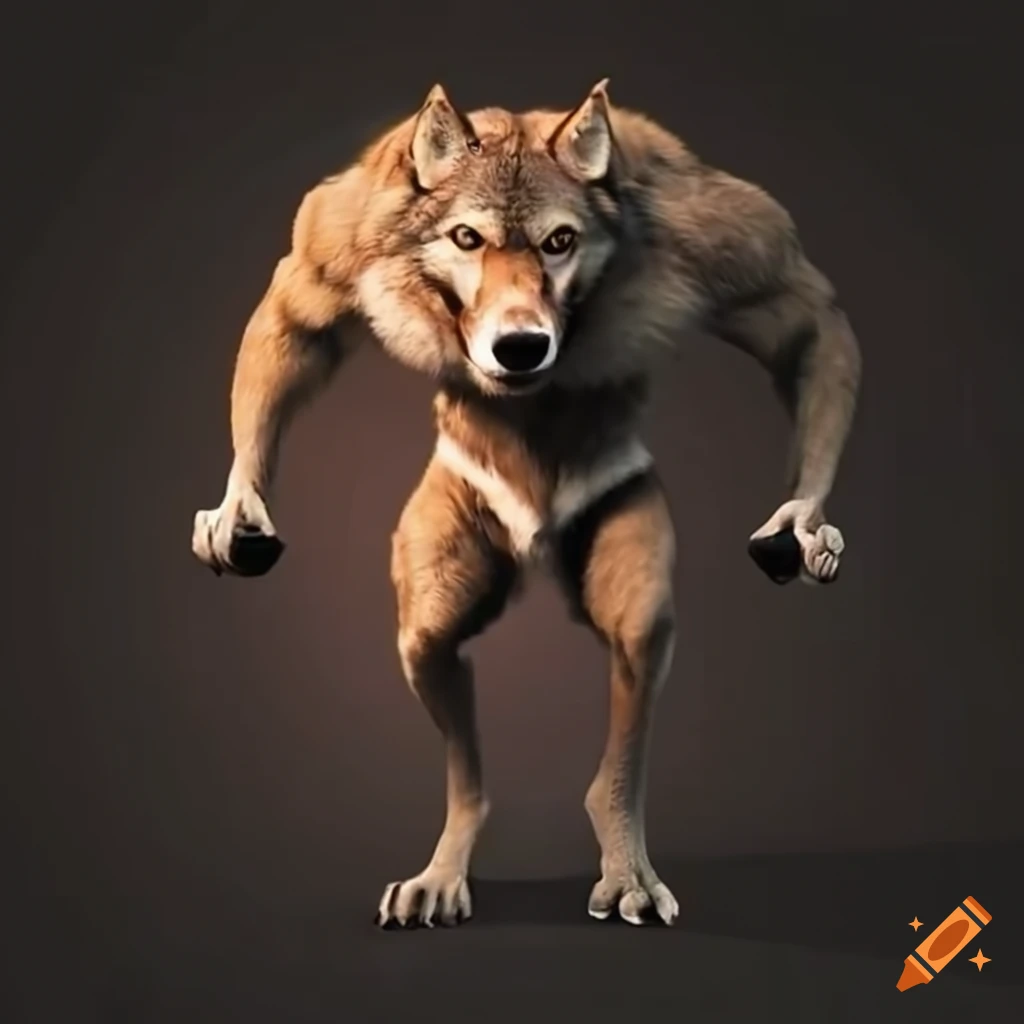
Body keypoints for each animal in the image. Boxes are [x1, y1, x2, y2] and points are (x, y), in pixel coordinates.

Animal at [191, 80, 861, 929]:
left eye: (559, 242)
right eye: (467, 237)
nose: (519, 346)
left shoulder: (710, 235)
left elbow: (807, 320)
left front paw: (802, 521)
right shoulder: (342, 239)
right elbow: (295, 318)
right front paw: (237, 501)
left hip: (630, 581)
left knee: (627, 688)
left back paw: (626, 869)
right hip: (436, 602)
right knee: (445, 691)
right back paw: (443, 872)